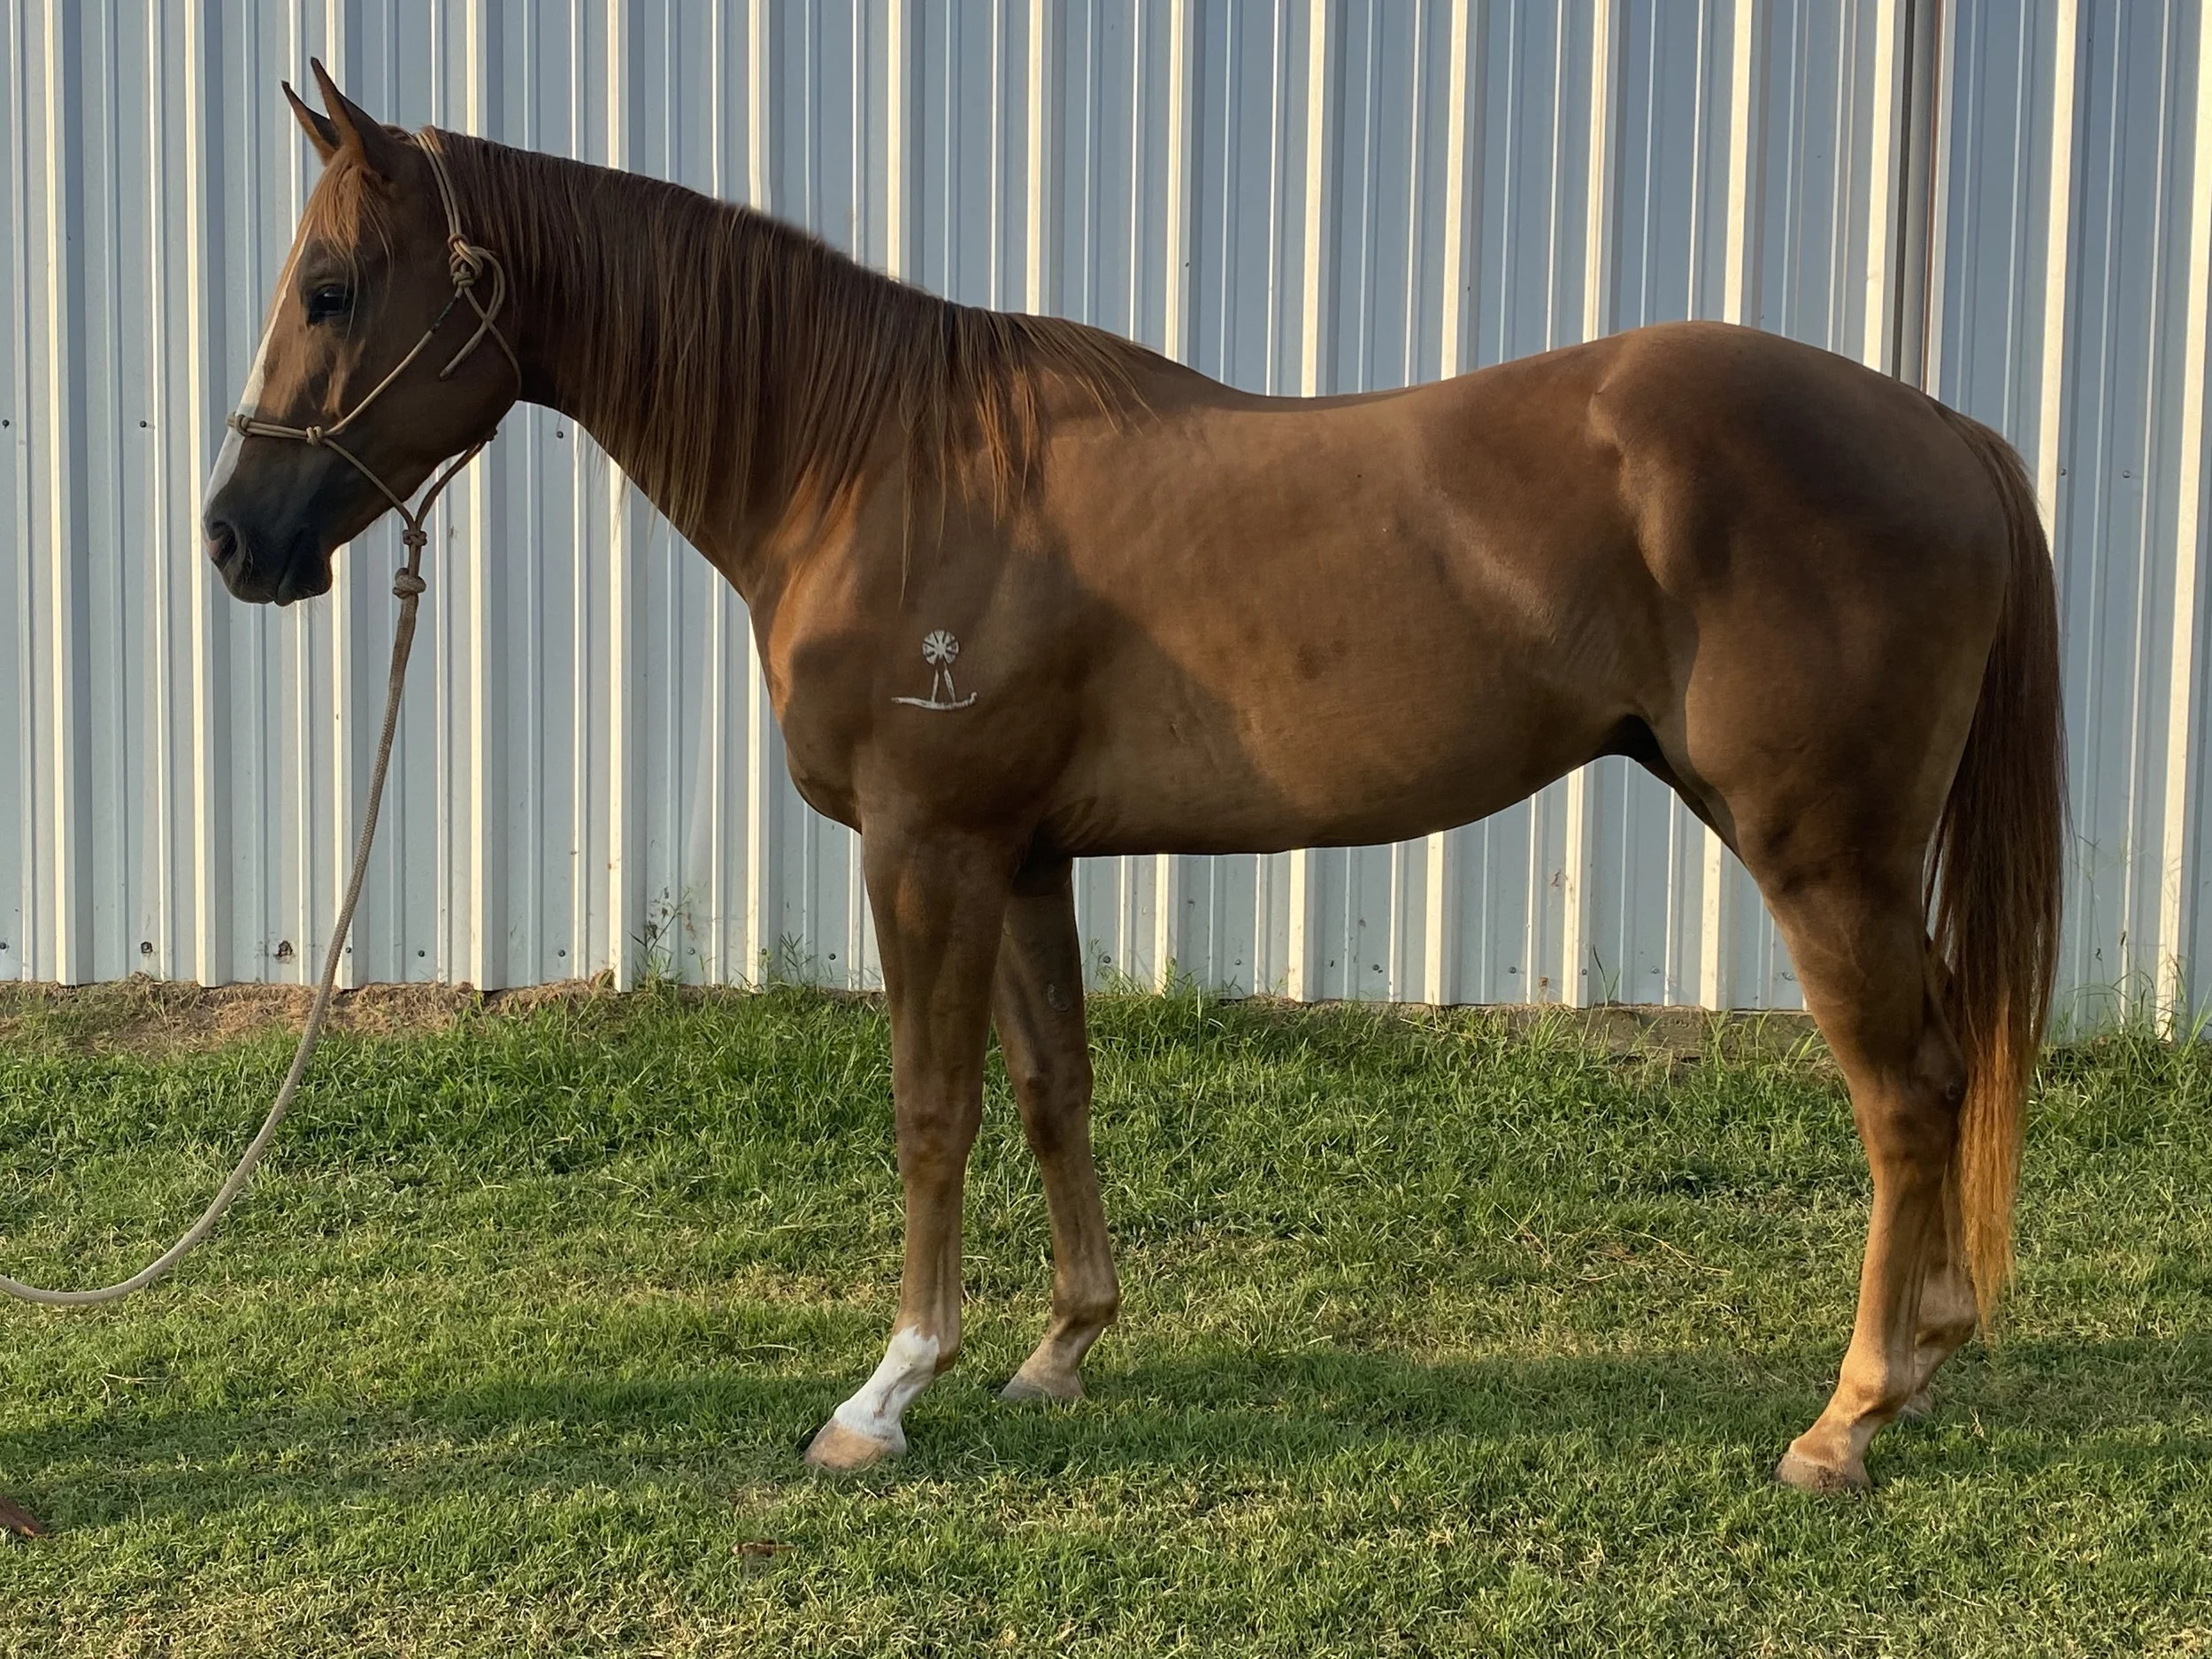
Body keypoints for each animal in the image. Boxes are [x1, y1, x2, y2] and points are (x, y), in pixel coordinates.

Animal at [197, 64, 2062, 1495]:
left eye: (332, 287)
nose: (235, 540)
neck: (873, 462)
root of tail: (1949, 432)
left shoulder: (928, 846)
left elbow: (930, 1108)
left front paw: (887, 1393)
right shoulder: (1024, 855)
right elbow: (1052, 1092)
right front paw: (1059, 1350)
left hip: (1818, 855)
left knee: (1906, 1101)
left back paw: (1844, 1422)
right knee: (1950, 1068)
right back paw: (1934, 1356)